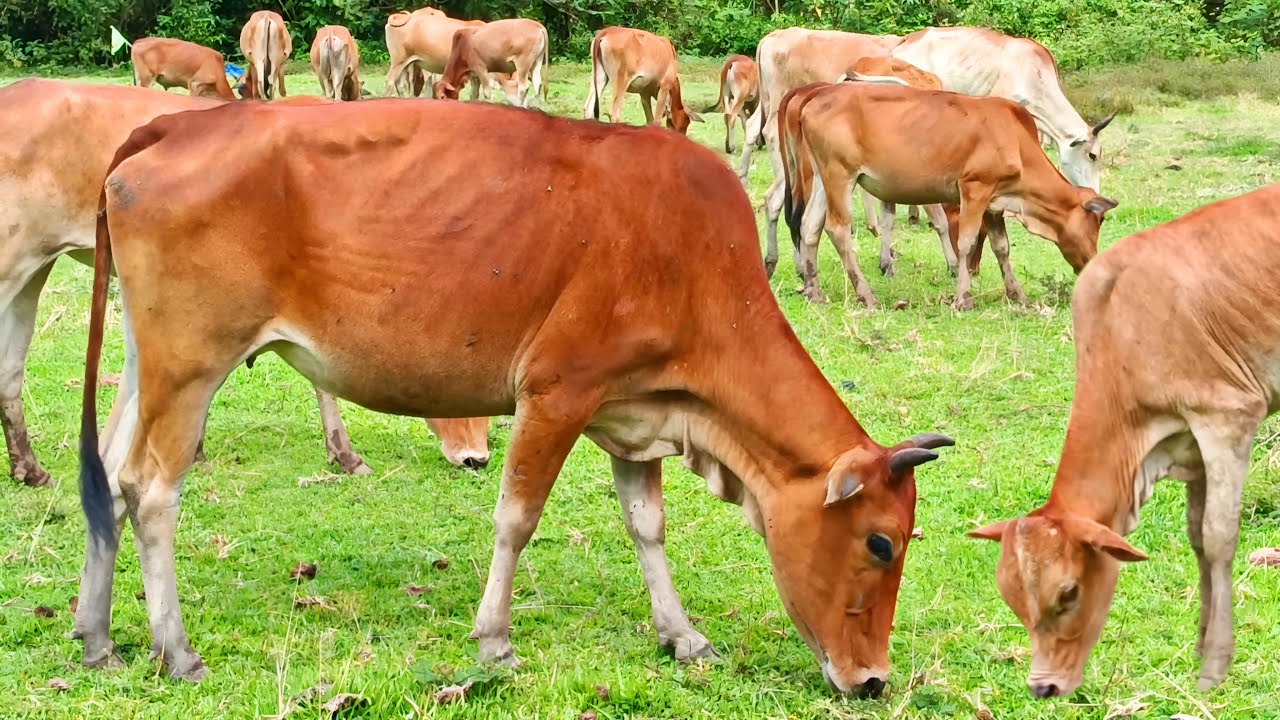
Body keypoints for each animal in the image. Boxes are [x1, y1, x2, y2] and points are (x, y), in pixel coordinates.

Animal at [75, 99, 952, 695]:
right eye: (881, 543)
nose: (873, 679)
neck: (696, 265)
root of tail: (177, 126)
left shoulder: (634, 411)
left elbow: (648, 528)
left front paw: (683, 634)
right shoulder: (557, 392)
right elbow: (517, 518)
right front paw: (494, 641)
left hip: (147, 361)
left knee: (109, 477)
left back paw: (96, 637)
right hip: (193, 363)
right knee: (150, 488)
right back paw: (175, 648)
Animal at [784, 82, 1117, 310]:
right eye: (1097, 221)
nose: (1092, 263)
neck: (1018, 144)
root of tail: (817, 94)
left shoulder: (994, 202)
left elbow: (1002, 247)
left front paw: (1017, 294)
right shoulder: (975, 188)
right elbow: (966, 243)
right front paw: (963, 297)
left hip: (821, 177)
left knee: (810, 226)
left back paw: (813, 290)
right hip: (840, 175)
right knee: (837, 229)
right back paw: (866, 294)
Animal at [969, 184, 1280, 696]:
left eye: (1068, 593)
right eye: (1012, 599)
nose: (1043, 687)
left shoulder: (1227, 418)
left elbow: (1218, 538)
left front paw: (1214, 665)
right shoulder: (1190, 446)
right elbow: (1197, 536)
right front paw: (1200, 646)